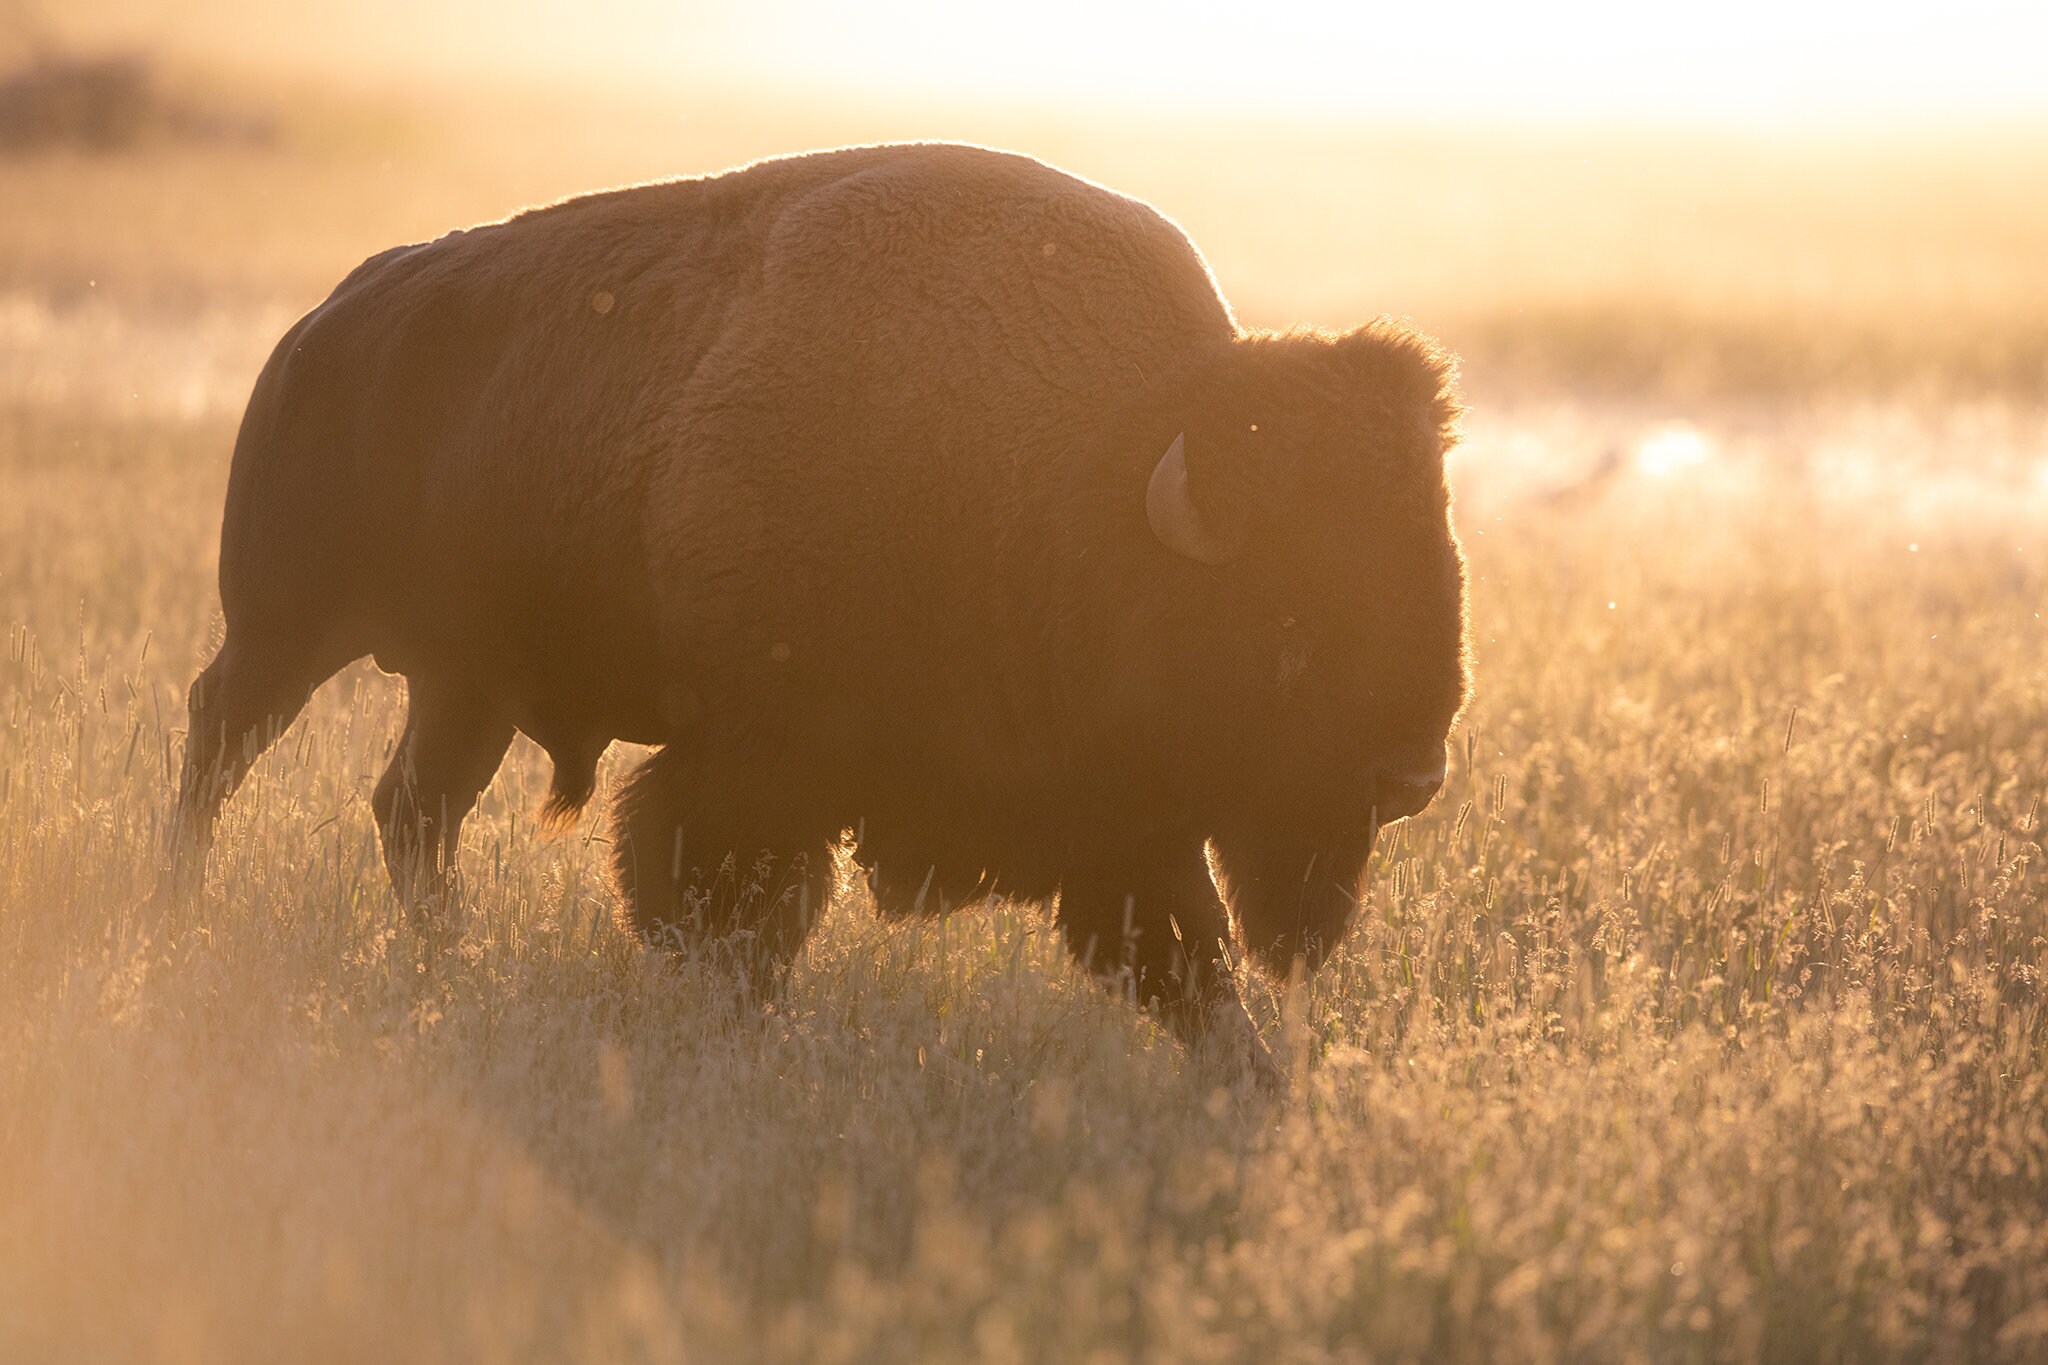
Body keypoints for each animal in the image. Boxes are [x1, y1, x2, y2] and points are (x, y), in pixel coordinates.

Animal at [174, 142, 1469, 1073]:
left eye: (1432, 560)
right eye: (1291, 620)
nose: (1410, 778)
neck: (1070, 470)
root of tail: (320, 327)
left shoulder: (1122, 819)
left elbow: (1181, 958)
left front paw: (1256, 1083)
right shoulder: (752, 767)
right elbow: (725, 910)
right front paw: (746, 1038)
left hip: (463, 688)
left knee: (411, 809)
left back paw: (441, 959)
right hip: (284, 631)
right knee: (220, 740)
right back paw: (173, 907)